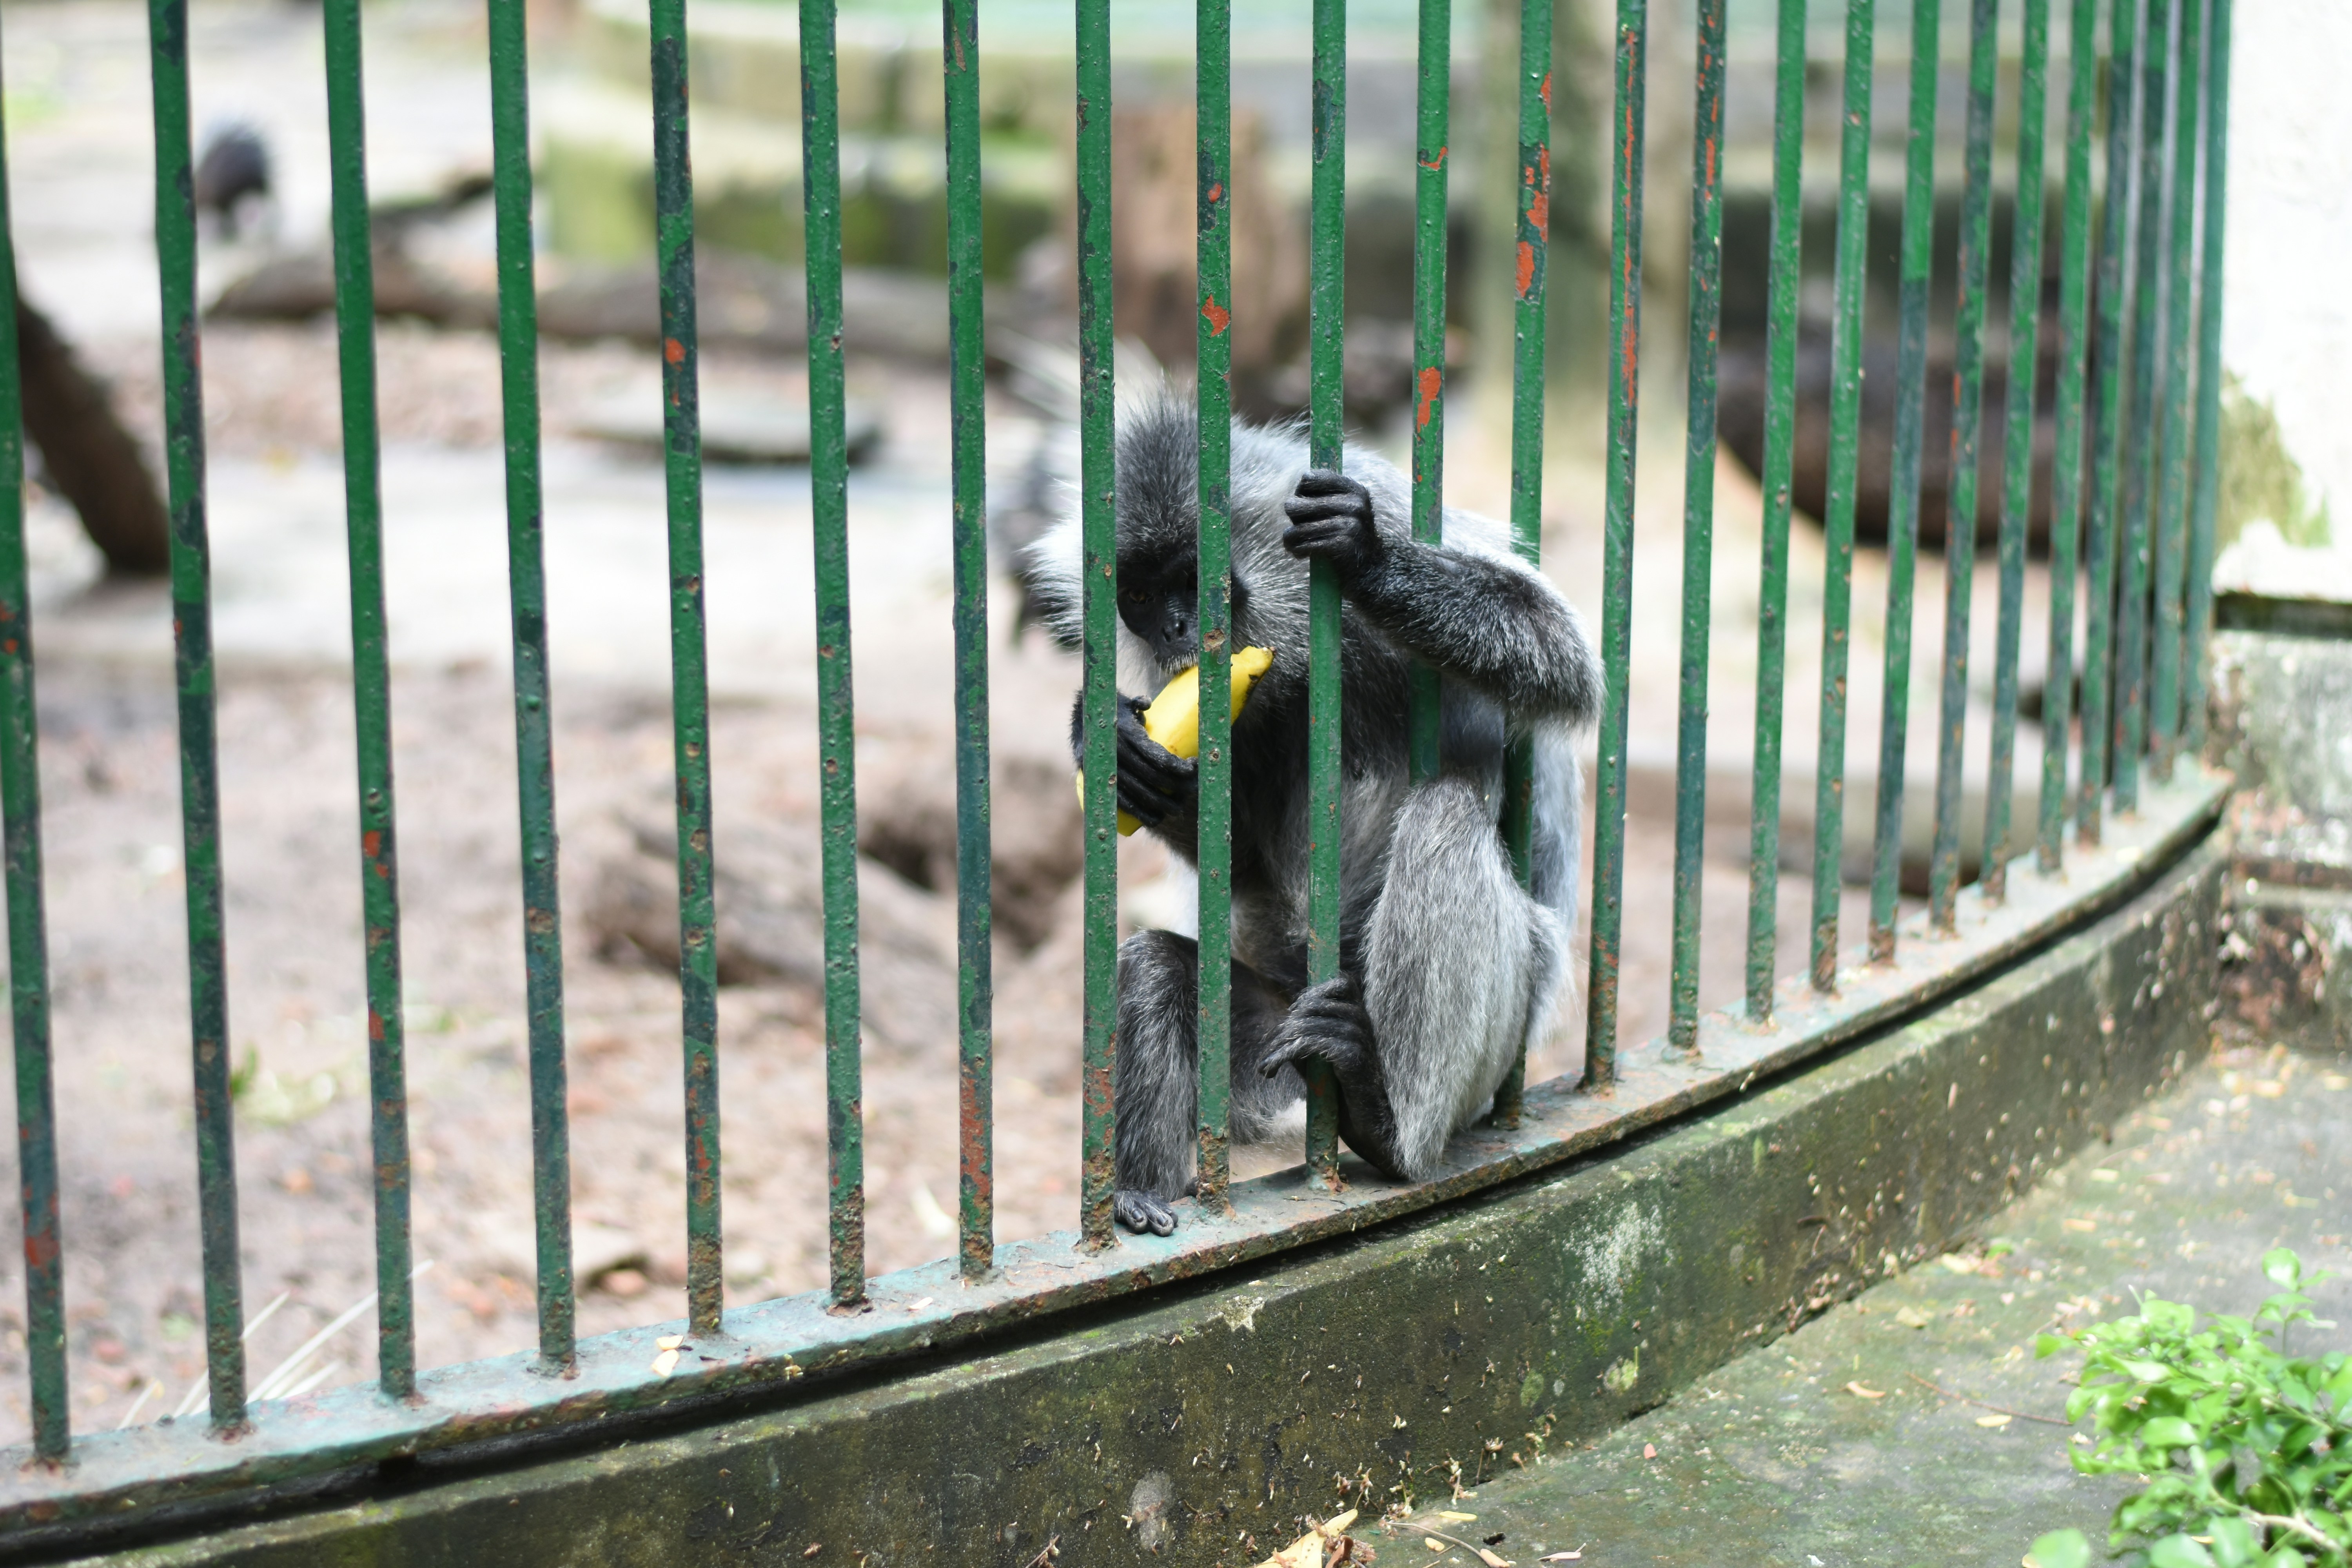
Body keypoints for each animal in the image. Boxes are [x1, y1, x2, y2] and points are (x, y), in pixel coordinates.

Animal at [1025, 390, 1602, 1235]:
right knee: (1156, 965)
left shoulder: (1381, 498)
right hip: (1274, 1045)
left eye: (1195, 582)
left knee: (1445, 815)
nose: (1175, 632)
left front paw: (1369, 562)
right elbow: (1239, 863)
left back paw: (1384, 1123)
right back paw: (1141, 1197)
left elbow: (1565, 658)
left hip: (1498, 1043)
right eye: (1140, 597)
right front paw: (1108, 742)